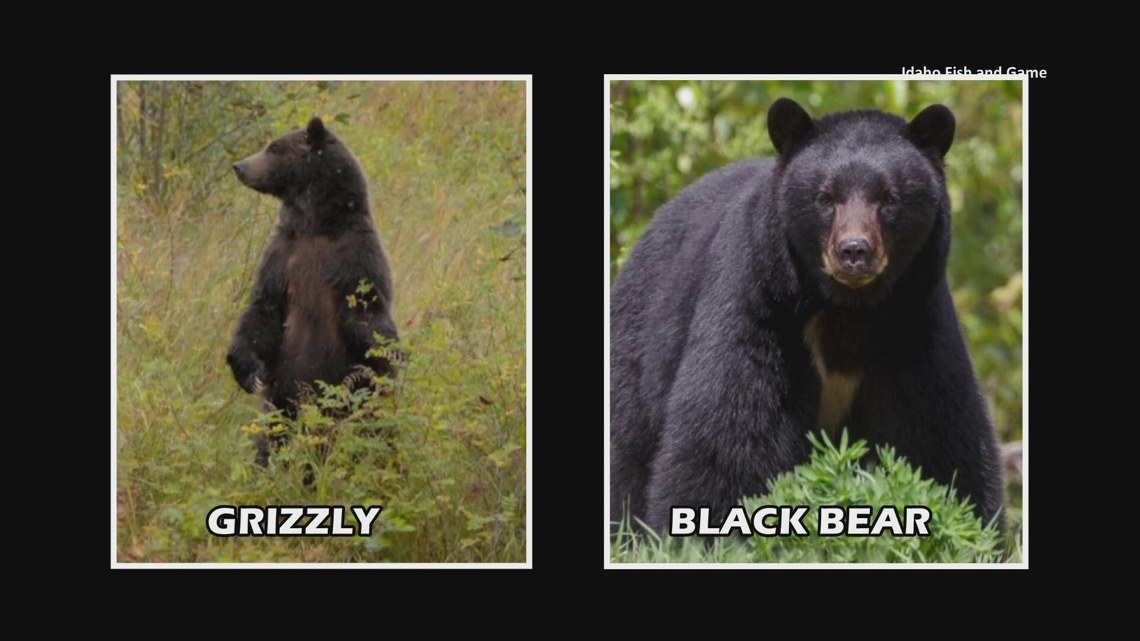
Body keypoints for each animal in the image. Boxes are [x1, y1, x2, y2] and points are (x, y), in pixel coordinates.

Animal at [227, 117, 398, 467]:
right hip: (282, 396)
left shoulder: (356, 255)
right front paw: (247, 371)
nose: (239, 166)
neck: (315, 225)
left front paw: (393, 356)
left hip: (345, 393)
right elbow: (263, 309)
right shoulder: (282, 254)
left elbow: (367, 312)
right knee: (273, 438)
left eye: (273, 148)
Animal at [610, 97, 1003, 535]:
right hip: (640, 342)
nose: (854, 251)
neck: (847, 308)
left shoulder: (915, 322)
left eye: (889, 198)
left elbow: (938, 435)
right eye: (825, 197)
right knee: (629, 449)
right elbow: (729, 430)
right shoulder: (759, 304)